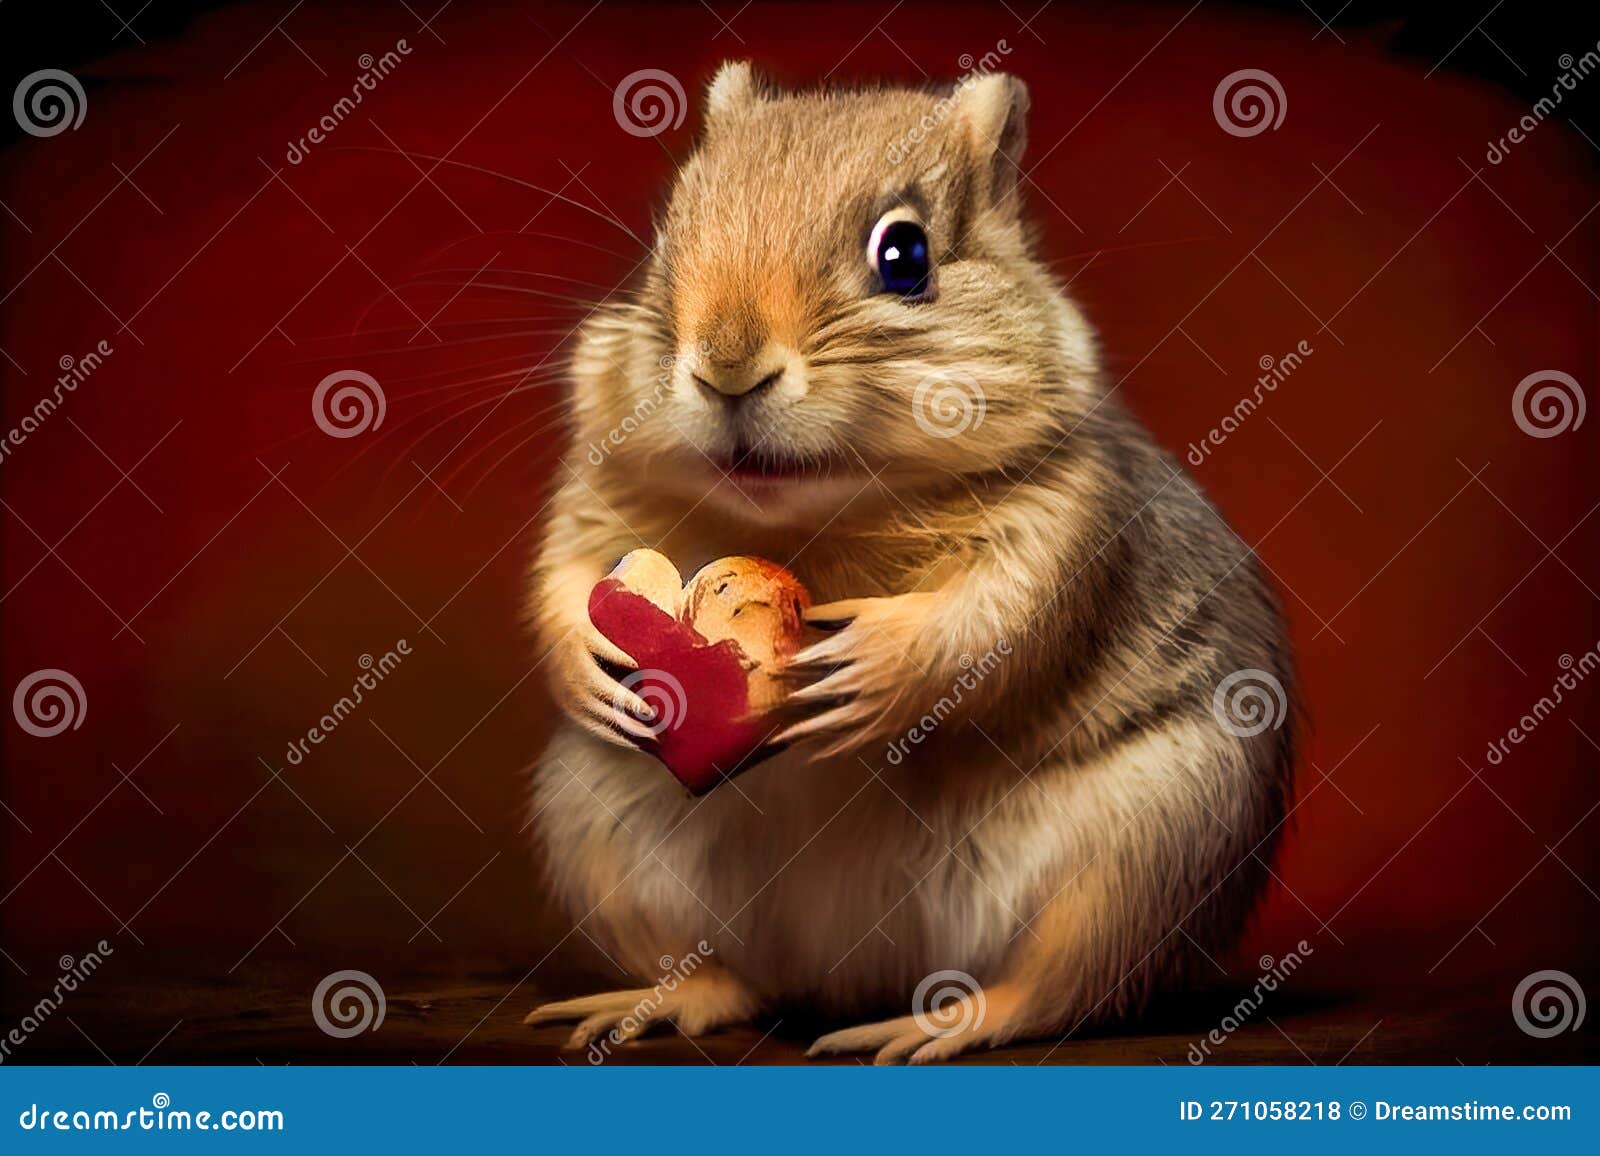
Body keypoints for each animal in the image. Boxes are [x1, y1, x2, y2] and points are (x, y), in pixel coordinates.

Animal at [522, 62, 1296, 1063]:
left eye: (906, 256)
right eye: (662, 241)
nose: (727, 366)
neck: (814, 515)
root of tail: (847, 970)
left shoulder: (1069, 513)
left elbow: (1002, 619)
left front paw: (875, 662)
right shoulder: (599, 484)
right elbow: (563, 573)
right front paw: (587, 665)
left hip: (1145, 851)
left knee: (1062, 986)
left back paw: (944, 1020)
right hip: (598, 830)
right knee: (725, 979)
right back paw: (660, 999)